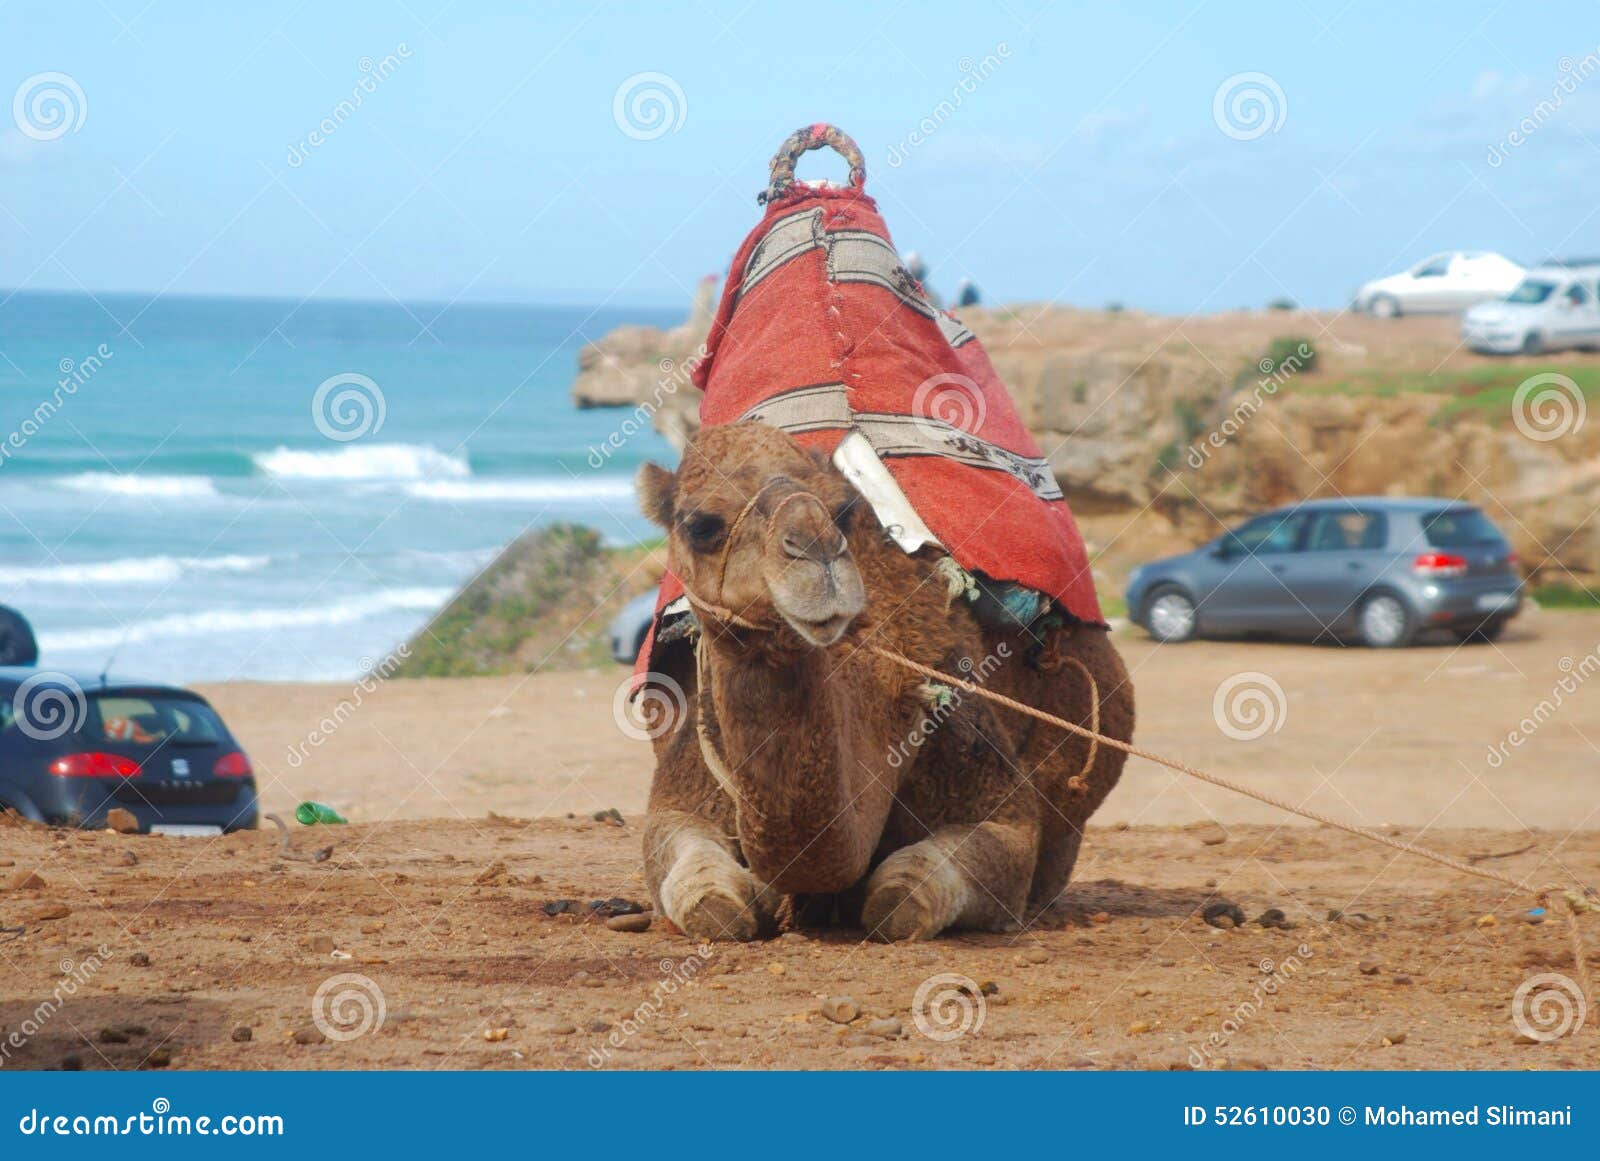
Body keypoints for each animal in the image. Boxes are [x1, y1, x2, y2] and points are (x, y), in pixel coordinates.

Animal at [635, 422, 1134, 941]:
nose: (815, 551)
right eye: (700, 525)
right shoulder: (685, 785)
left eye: (841, 509)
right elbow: (704, 896)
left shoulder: (985, 780)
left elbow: (903, 898)